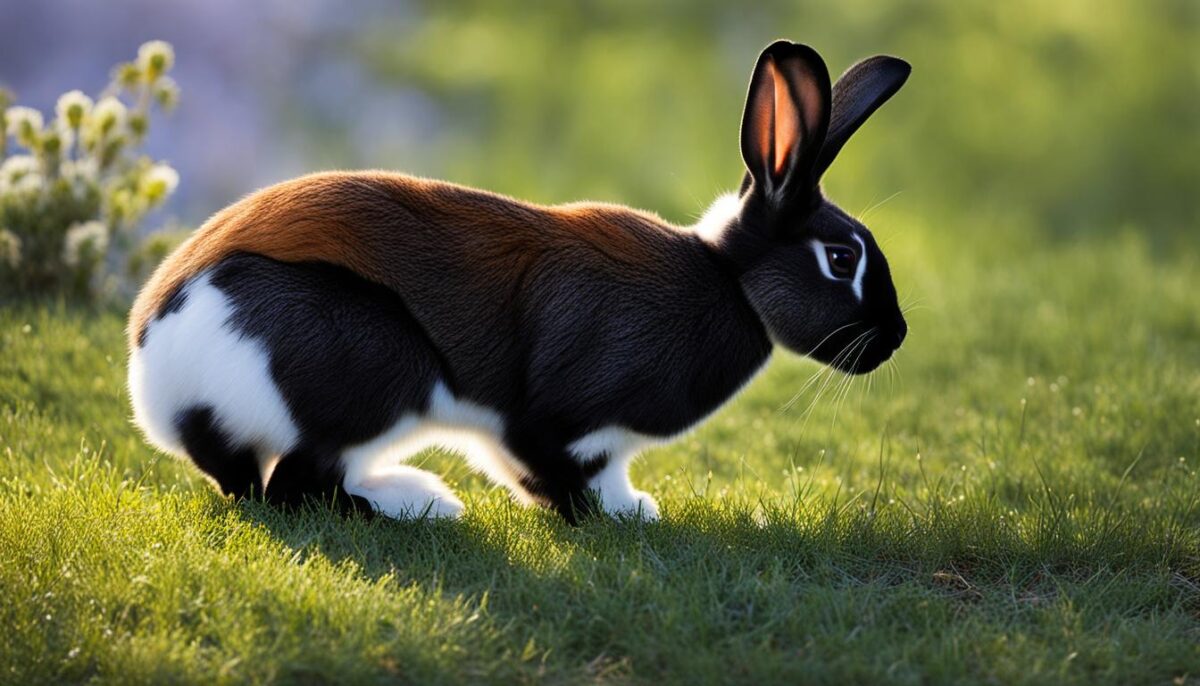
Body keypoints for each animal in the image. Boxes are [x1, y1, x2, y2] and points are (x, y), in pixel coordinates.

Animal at [127, 40, 910, 524]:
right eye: (842, 259)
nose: (897, 337)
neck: (727, 277)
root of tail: (165, 387)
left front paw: (628, 507)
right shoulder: (558, 414)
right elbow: (560, 466)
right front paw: (611, 517)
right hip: (381, 368)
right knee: (293, 488)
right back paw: (411, 505)